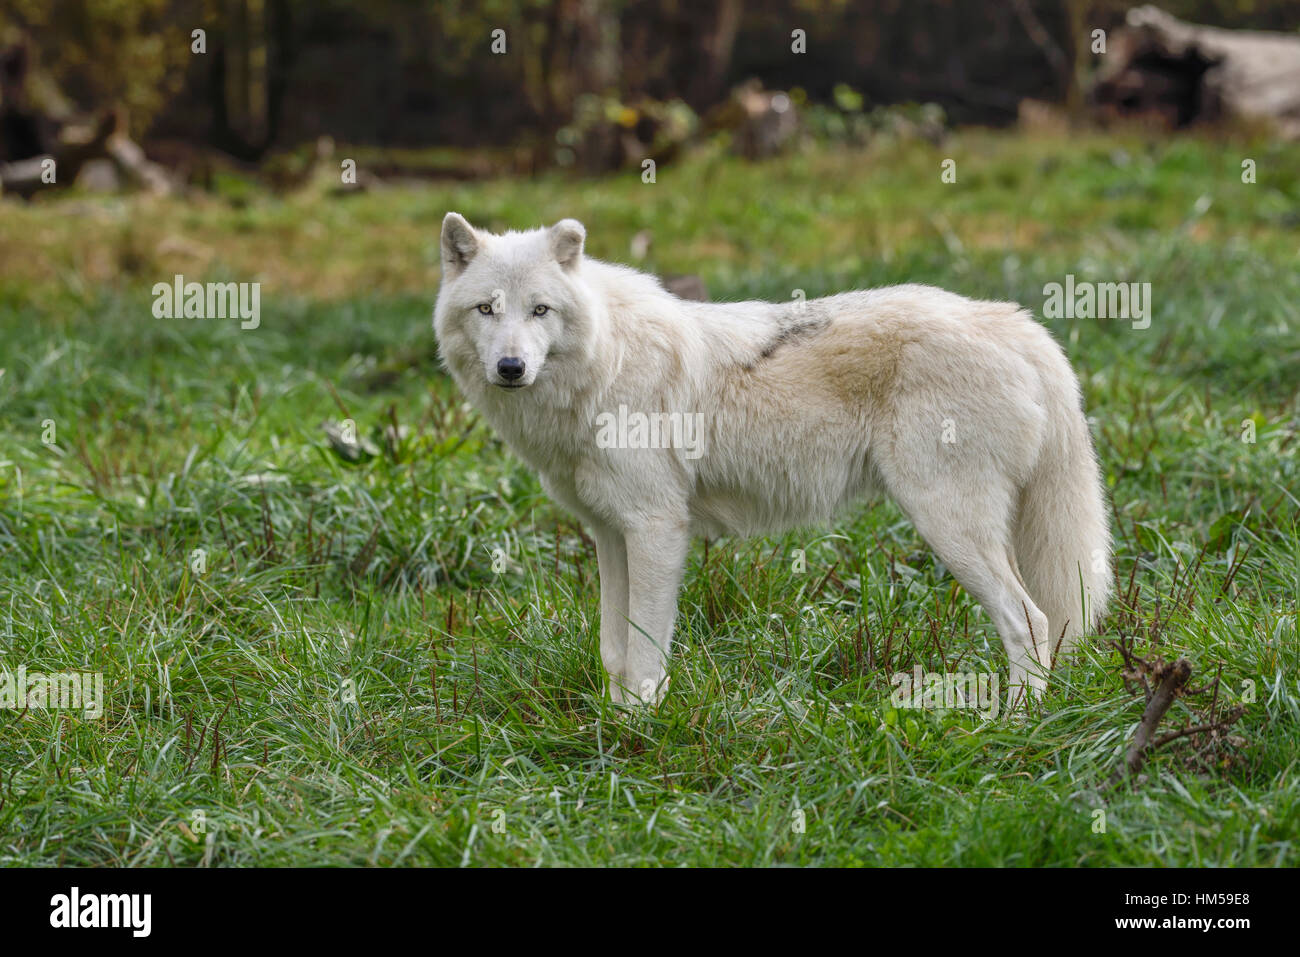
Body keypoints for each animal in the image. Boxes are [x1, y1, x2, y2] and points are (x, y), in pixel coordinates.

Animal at [433, 213, 1111, 709]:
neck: (605, 363)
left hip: (950, 529)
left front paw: (640, 732)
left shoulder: (657, 528)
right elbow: (614, 650)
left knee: (1032, 623)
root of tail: (1016, 323)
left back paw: (1012, 725)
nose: (511, 368)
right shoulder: (610, 534)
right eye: (487, 309)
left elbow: (646, 652)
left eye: (540, 310)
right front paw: (610, 723)